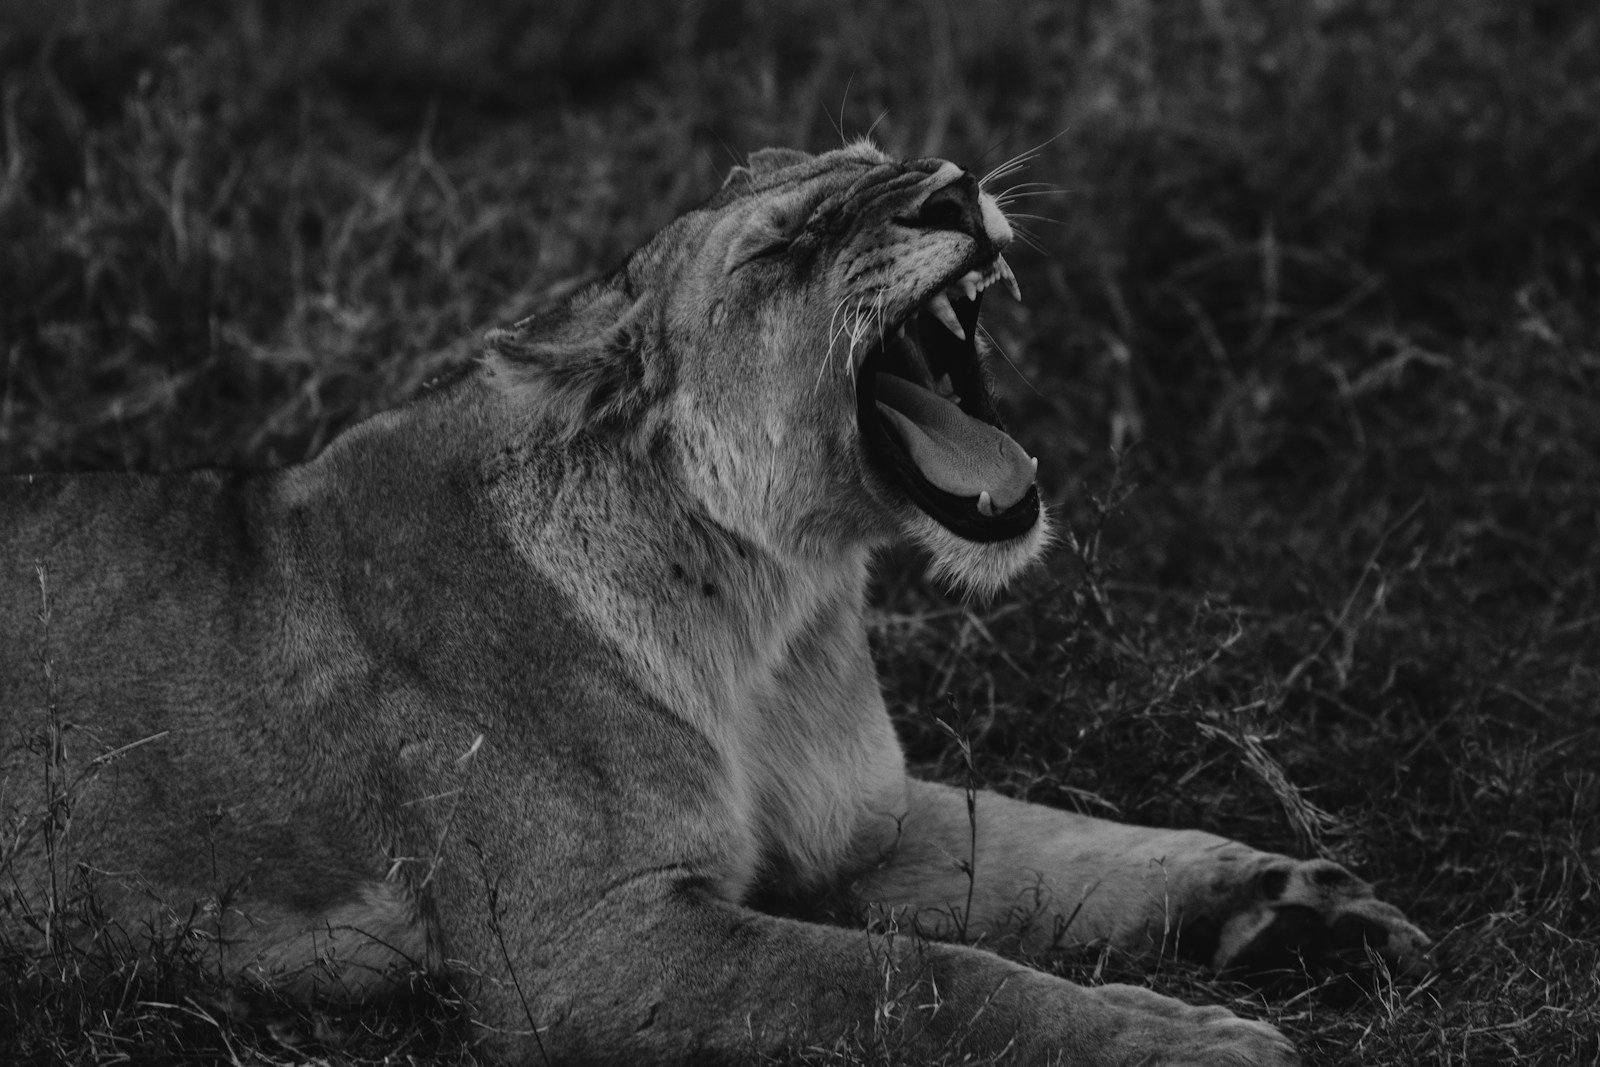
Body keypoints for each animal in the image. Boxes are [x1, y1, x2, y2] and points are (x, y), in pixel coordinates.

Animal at [1, 141, 1429, 1065]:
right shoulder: (582, 947)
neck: (779, 611)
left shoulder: (859, 822)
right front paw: (1180, 1036)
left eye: (890, 155)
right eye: (787, 244)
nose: (954, 186)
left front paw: (1298, 904)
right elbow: (925, 982)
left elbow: (1073, 847)